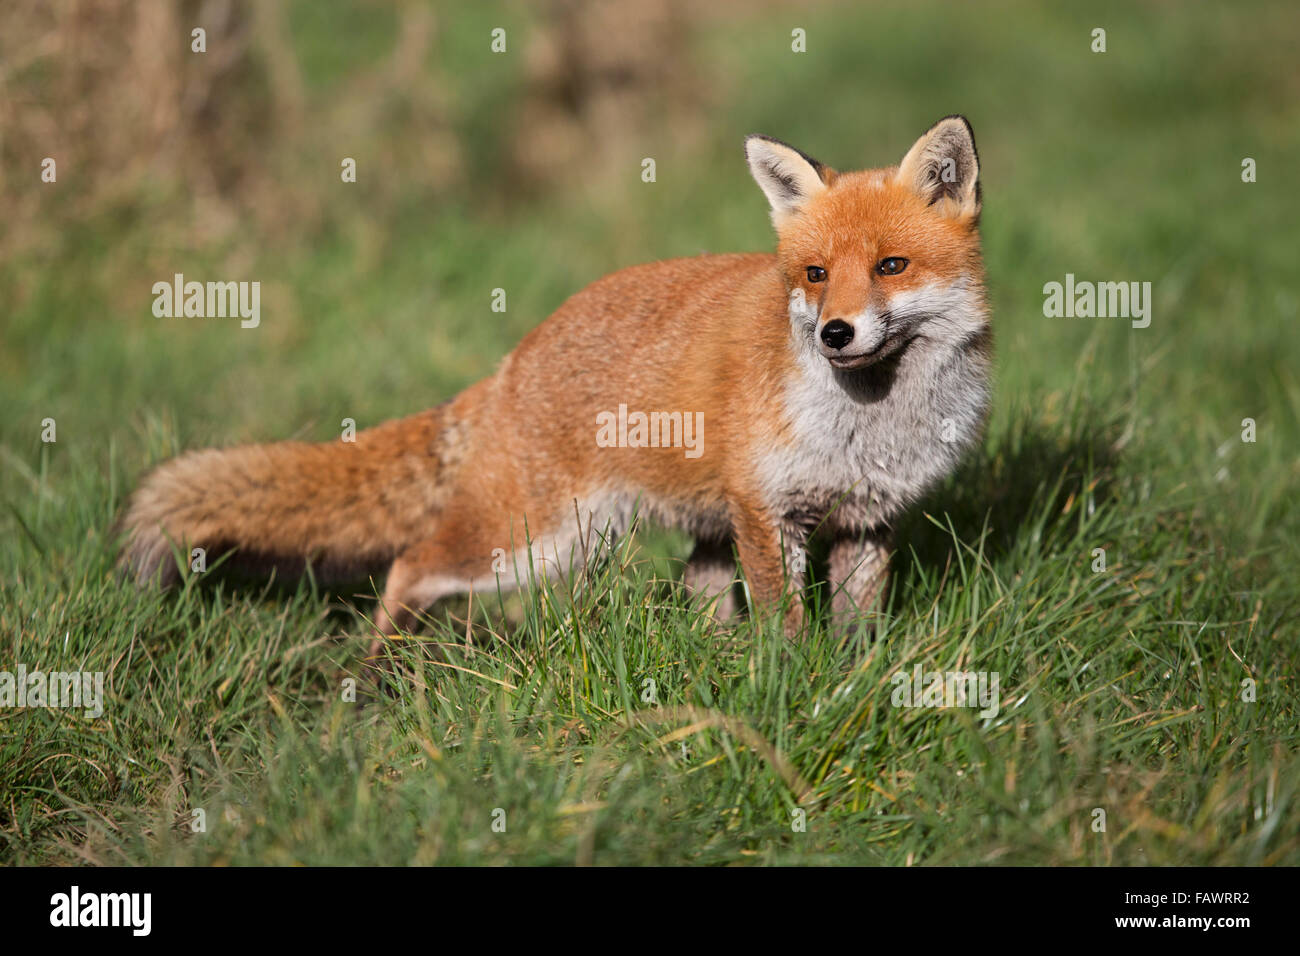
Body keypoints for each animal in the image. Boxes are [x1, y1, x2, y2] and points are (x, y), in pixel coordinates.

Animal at [119, 116, 991, 649]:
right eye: (815, 274)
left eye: (890, 266)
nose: (833, 333)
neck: (871, 421)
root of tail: (515, 358)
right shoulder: (767, 511)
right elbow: (784, 628)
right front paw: (784, 688)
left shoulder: (868, 517)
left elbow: (857, 631)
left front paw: (849, 681)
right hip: (537, 540)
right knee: (409, 564)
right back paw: (372, 681)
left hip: (668, 530)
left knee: (701, 596)